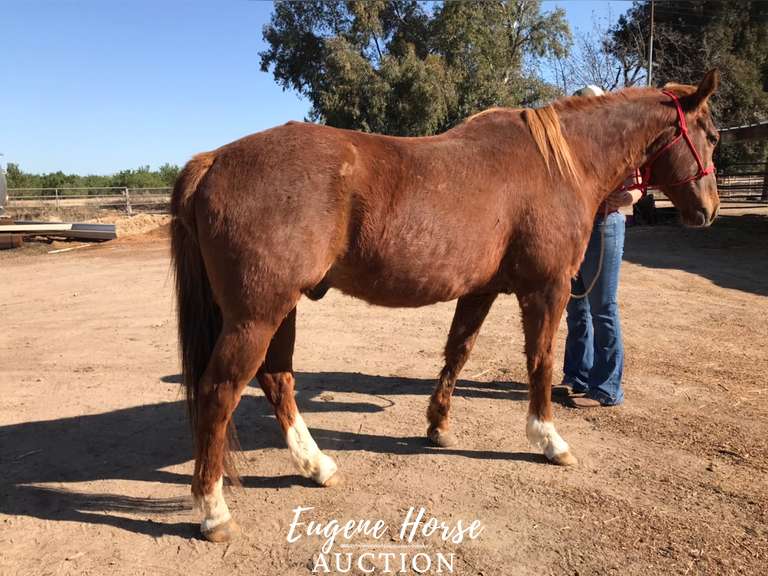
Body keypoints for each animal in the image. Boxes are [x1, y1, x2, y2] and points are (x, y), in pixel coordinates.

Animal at [170, 70, 721, 541]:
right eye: (713, 136)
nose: (709, 210)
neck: (558, 165)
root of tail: (213, 160)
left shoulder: (480, 290)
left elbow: (458, 352)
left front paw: (438, 426)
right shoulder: (546, 289)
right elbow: (540, 363)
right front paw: (549, 440)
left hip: (280, 310)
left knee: (277, 380)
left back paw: (317, 466)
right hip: (256, 315)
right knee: (220, 392)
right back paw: (214, 512)